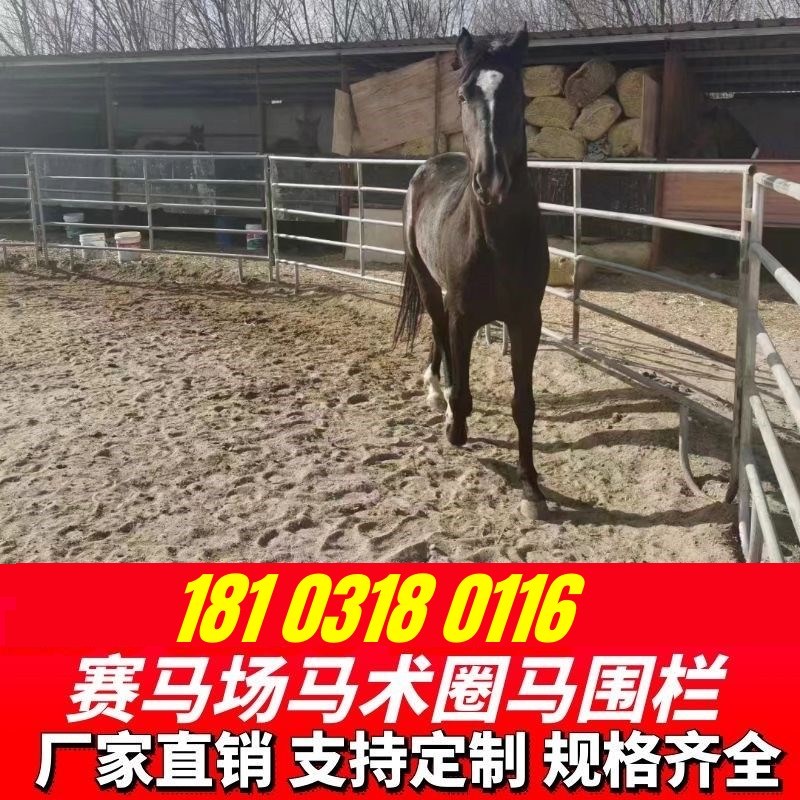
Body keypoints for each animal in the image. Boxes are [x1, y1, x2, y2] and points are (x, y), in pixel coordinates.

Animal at [393, 25, 551, 518]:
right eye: (464, 95)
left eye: (519, 94)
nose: (492, 181)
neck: (497, 243)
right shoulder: (465, 316)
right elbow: (463, 391)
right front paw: (454, 426)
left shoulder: (526, 322)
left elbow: (524, 404)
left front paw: (531, 486)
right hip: (428, 283)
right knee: (437, 330)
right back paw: (436, 393)